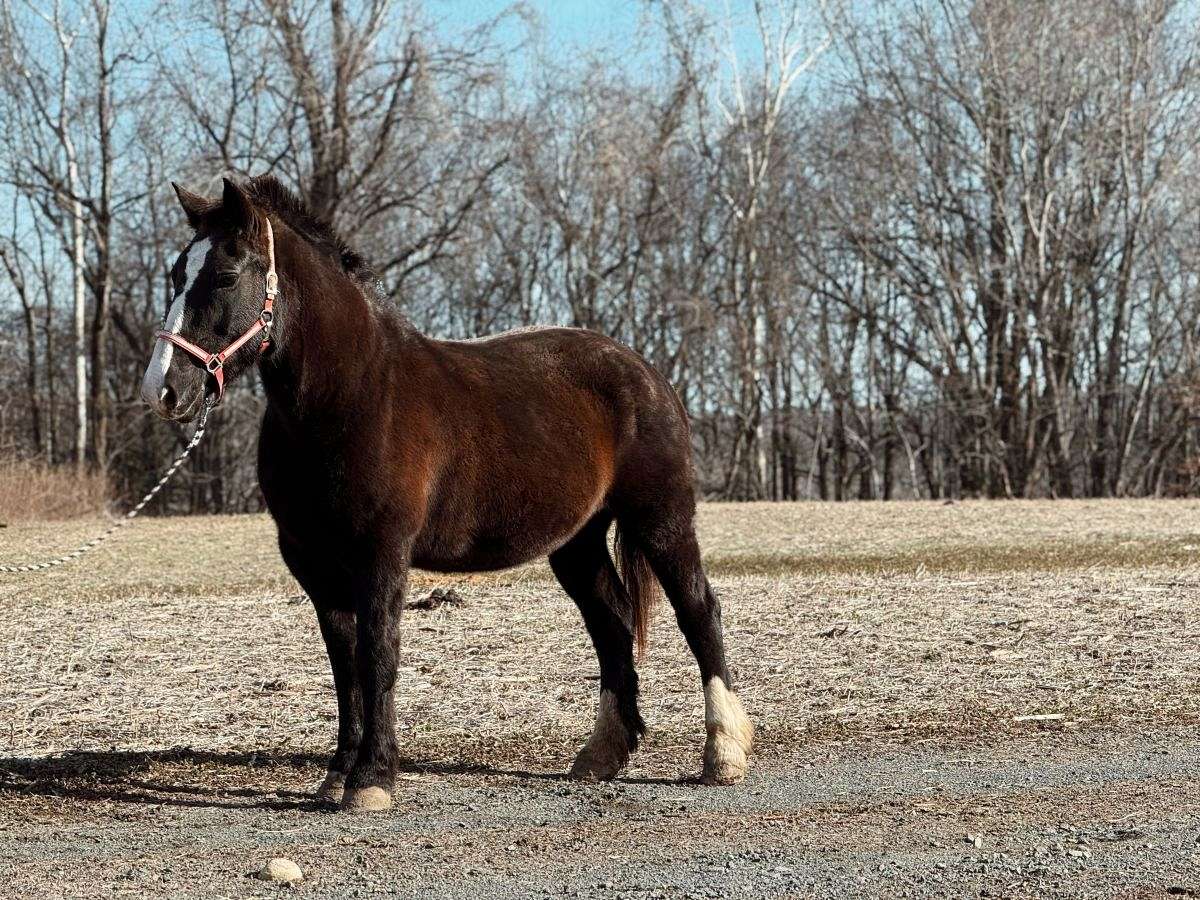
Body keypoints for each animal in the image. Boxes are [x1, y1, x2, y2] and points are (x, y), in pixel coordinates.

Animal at [139, 175, 753, 812]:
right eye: (176, 274)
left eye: (225, 276)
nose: (163, 390)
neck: (351, 397)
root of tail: (645, 372)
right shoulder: (314, 563)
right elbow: (343, 662)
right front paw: (338, 774)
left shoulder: (382, 554)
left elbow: (378, 653)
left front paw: (372, 779)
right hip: (577, 542)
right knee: (611, 622)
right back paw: (602, 755)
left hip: (662, 519)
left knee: (698, 610)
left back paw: (723, 753)